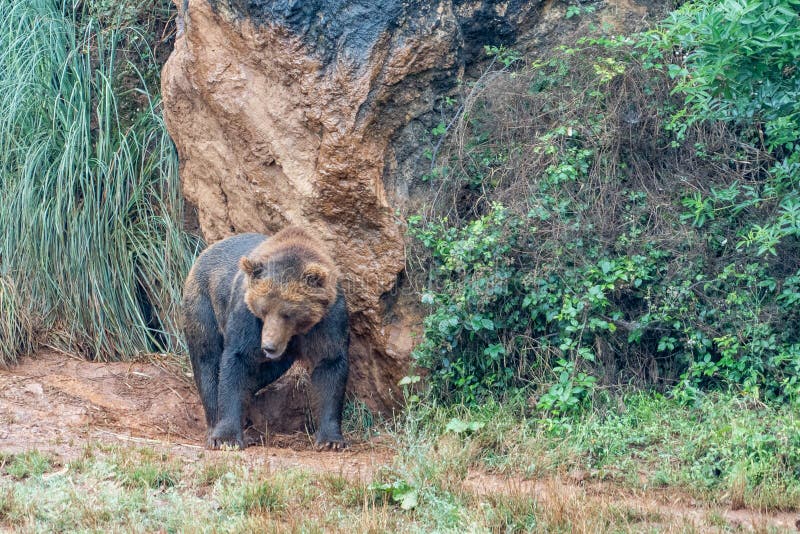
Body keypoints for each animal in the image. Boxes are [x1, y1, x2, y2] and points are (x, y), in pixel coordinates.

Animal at [182, 226, 349, 450]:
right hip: (203, 304)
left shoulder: (329, 319)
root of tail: (205, 251)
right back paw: (216, 424)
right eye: (264, 309)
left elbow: (330, 364)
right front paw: (226, 437)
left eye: (288, 313)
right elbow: (238, 360)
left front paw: (331, 440)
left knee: (263, 373)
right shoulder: (246, 313)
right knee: (207, 360)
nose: (268, 346)